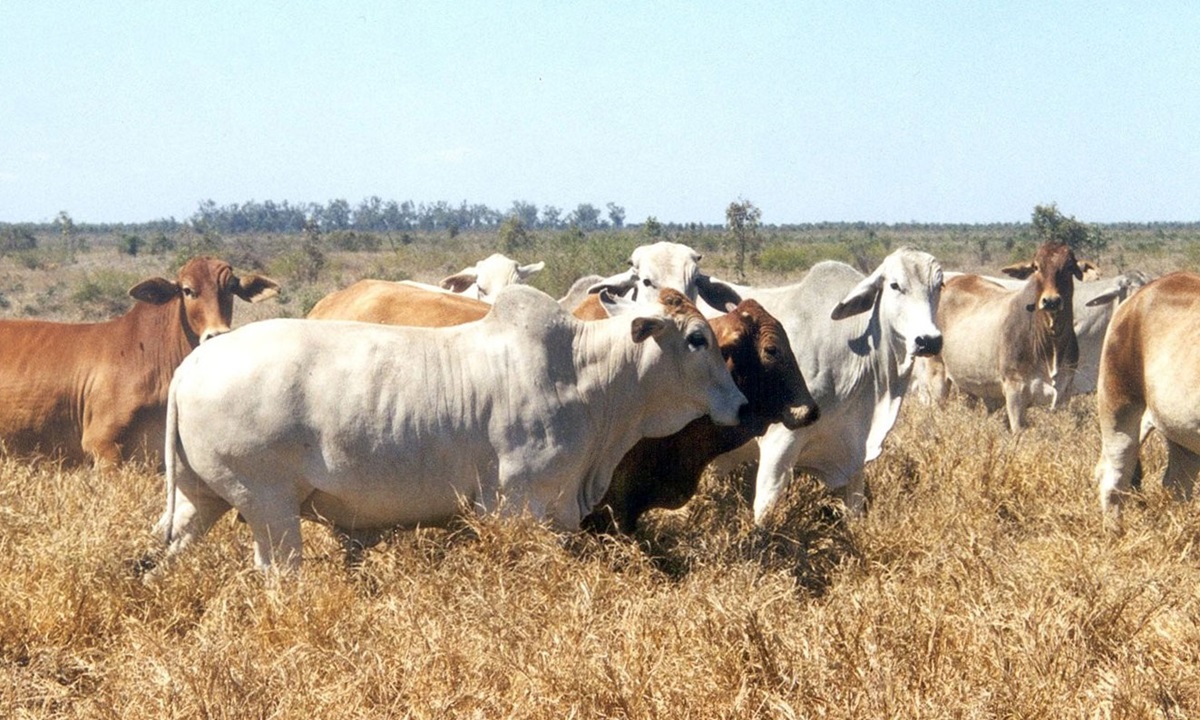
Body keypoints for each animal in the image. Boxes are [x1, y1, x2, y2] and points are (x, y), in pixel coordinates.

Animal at [153, 286, 747, 572]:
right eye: (697, 339)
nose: (742, 406)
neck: (584, 376)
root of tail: (192, 367)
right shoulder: (518, 508)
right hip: (271, 509)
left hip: (199, 503)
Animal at [706, 248, 944, 520]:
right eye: (895, 285)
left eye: (940, 285)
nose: (929, 340)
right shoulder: (779, 444)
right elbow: (764, 512)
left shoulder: (853, 456)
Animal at [924, 242, 1086, 431]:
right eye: (1036, 267)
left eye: (1069, 266)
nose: (1051, 301)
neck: (1050, 343)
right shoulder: (1014, 390)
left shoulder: (1063, 393)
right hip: (937, 374)